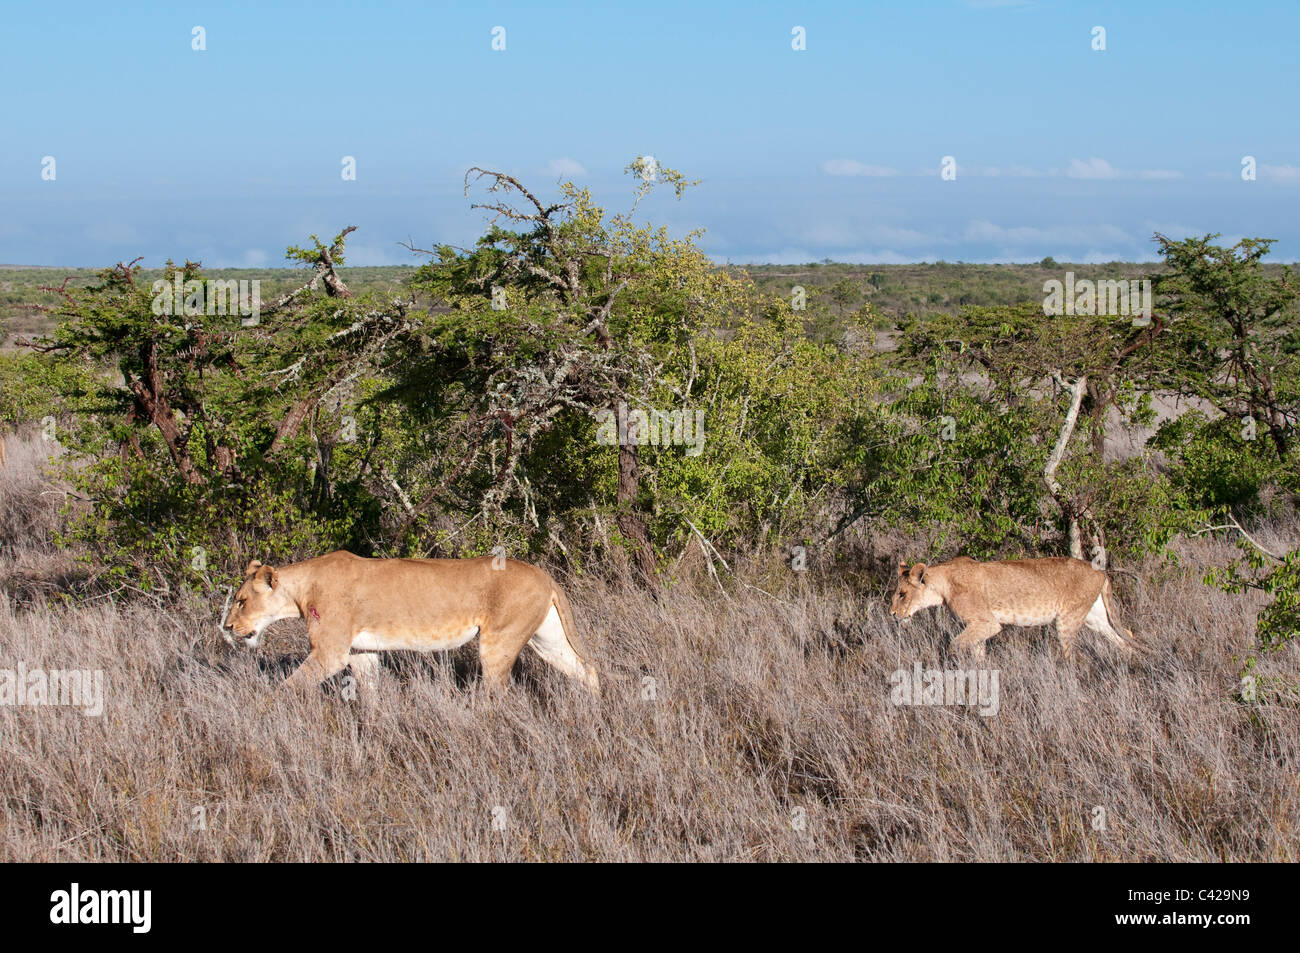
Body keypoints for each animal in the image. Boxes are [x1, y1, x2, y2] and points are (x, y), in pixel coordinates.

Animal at [222, 551, 600, 694]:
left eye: (240, 601)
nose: (226, 627)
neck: (301, 590)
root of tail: (544, 574)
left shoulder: (329, 652)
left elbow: (287, 687)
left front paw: (264, 710)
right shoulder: (360, 652)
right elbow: (371, 694)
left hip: (499, 641)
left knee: (497, 692)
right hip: (546, 638)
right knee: (586, 669)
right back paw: (591, 709)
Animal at [890, 556, 1138, 661]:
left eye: (902, 595)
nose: (892, 614)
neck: (943, 585)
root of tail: (1100, 571)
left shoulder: (988, 623)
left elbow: (954, 646)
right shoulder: (978, 627)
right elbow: (978, 656)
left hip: (1067, 621)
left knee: (1072, 657)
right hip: (1094, 618)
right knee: (1125, 639)